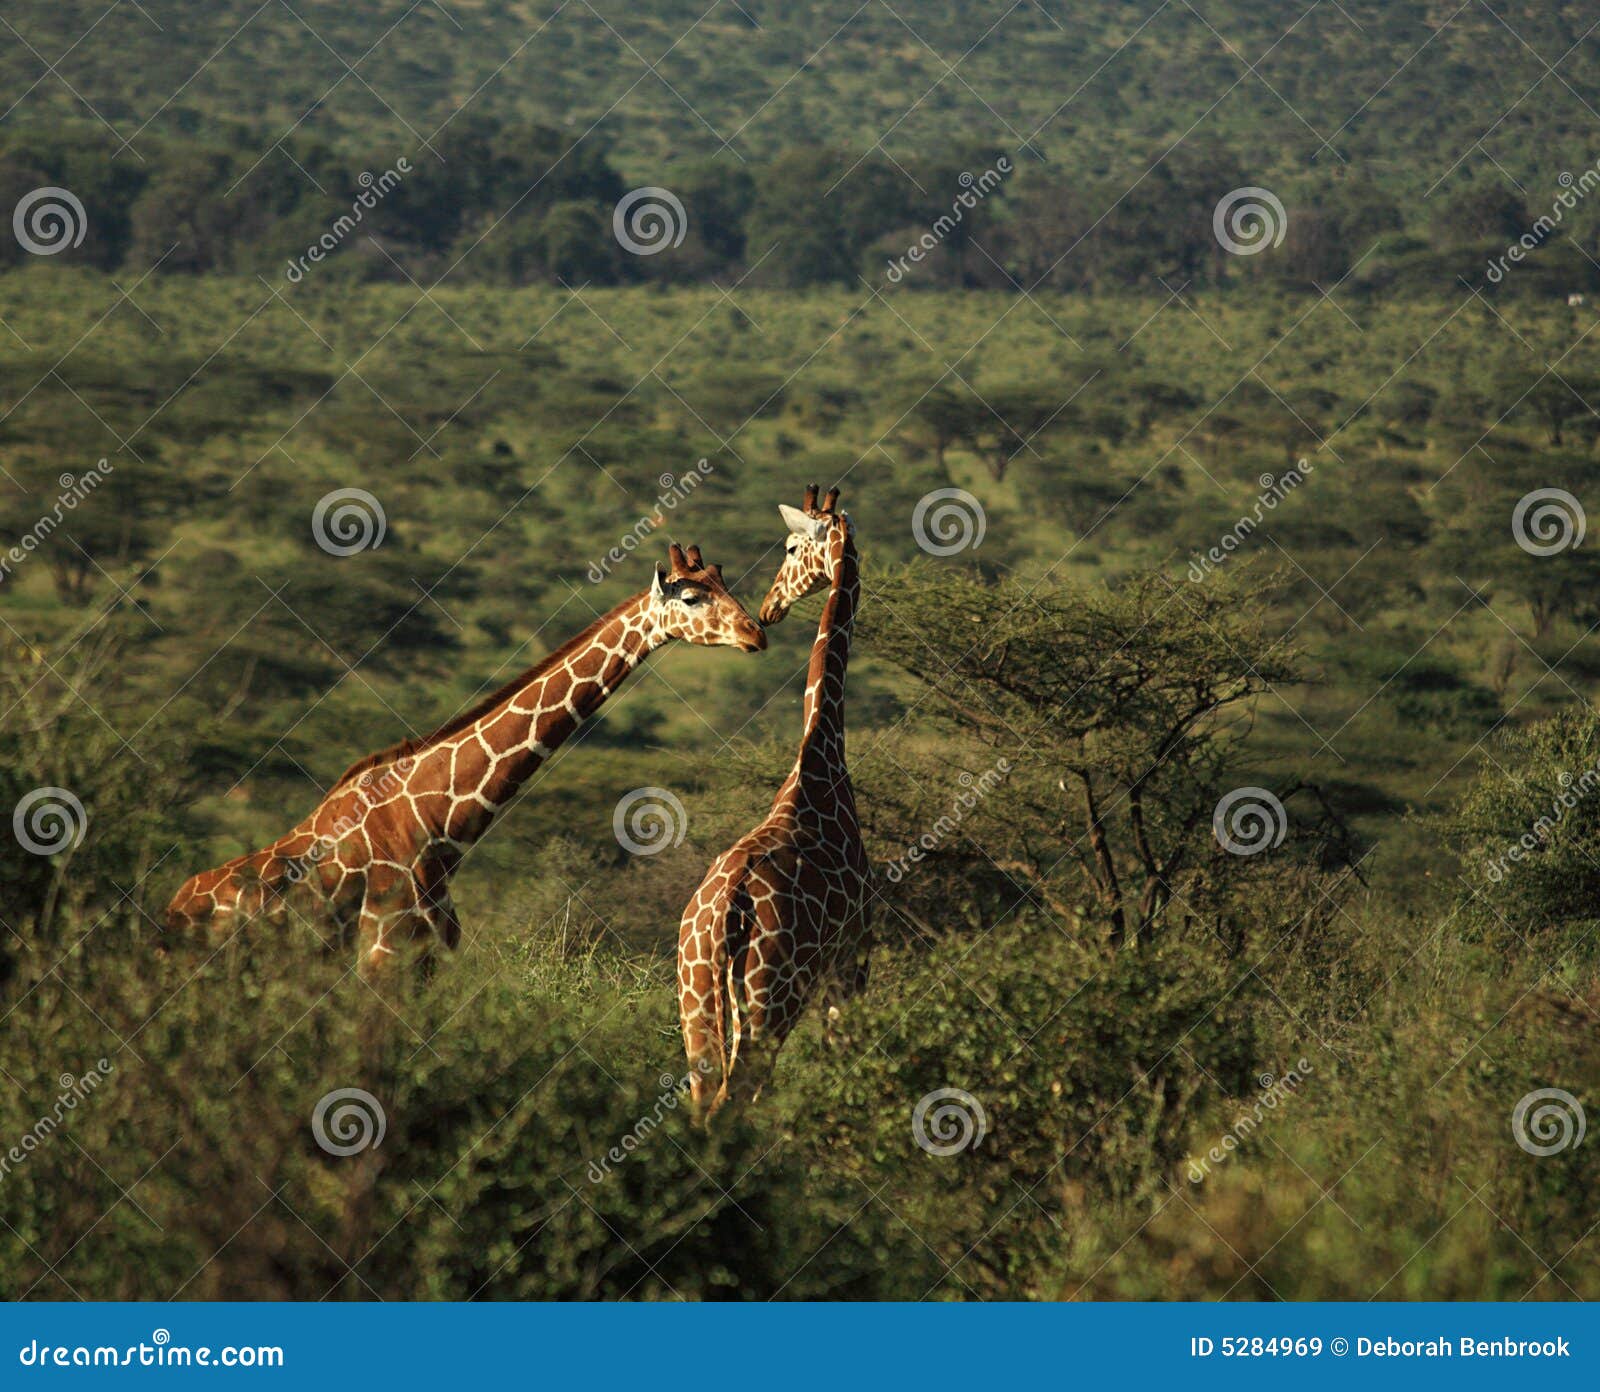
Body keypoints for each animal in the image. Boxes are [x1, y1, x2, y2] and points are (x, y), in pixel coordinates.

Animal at [166, 543, 767, 972]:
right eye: (691, 598)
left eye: (725, 584)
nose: (756, 632)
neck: (439, 827)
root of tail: (169, 914)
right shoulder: (383, 960)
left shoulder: (431, 963)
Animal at [677, 486, 871, 1118]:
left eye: (788, 547)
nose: (768, 609)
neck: (820, 756)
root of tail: (723, 919)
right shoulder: (853, 959)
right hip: (770, 1002)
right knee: (733, 1101)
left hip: (698, 1003)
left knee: (703, 1101)